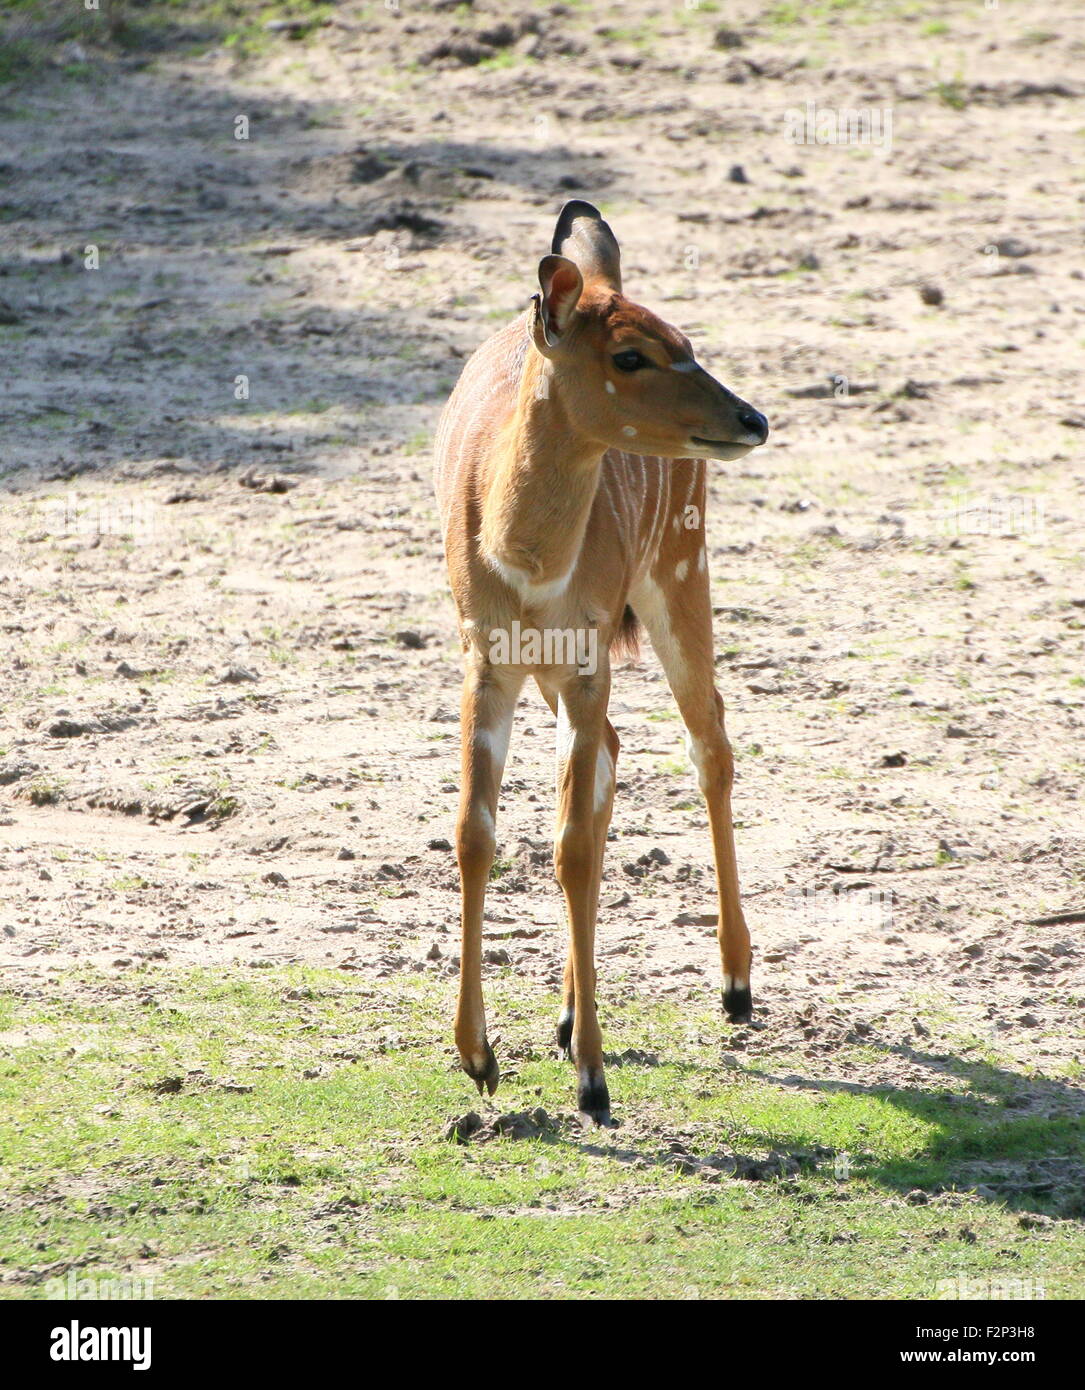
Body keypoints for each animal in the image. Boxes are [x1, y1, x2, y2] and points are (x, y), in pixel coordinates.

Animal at [433, 201, 768, 1125]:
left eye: (683, 339)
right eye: (629, 355)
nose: (751, 419)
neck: (525, 559)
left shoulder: (583, 663)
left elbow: (571, 849)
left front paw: (592, 1077)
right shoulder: (488, 663)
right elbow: (475, 832)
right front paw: (478, 1055)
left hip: (678, 576)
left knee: (708, 743)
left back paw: (733, 984)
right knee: (618, 757)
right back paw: (560, 1014)